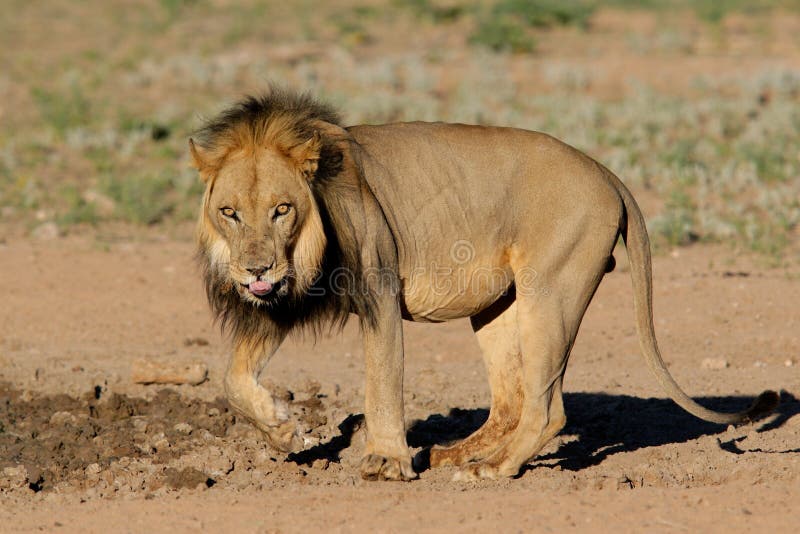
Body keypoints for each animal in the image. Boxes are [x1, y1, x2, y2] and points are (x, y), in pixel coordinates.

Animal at [190, 88, 778, 481]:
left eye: (282, 209)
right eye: (230, 212)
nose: (256, 269)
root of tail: (605, 171)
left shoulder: (379, 290)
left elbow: (382, 380)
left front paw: (386, 459)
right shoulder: (280, 302)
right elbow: (233, 377)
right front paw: (284, 430)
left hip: (551, 296)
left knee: (547, 407)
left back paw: (492, 470)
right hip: (498, 307)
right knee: (510, 400)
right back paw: (458, 454)